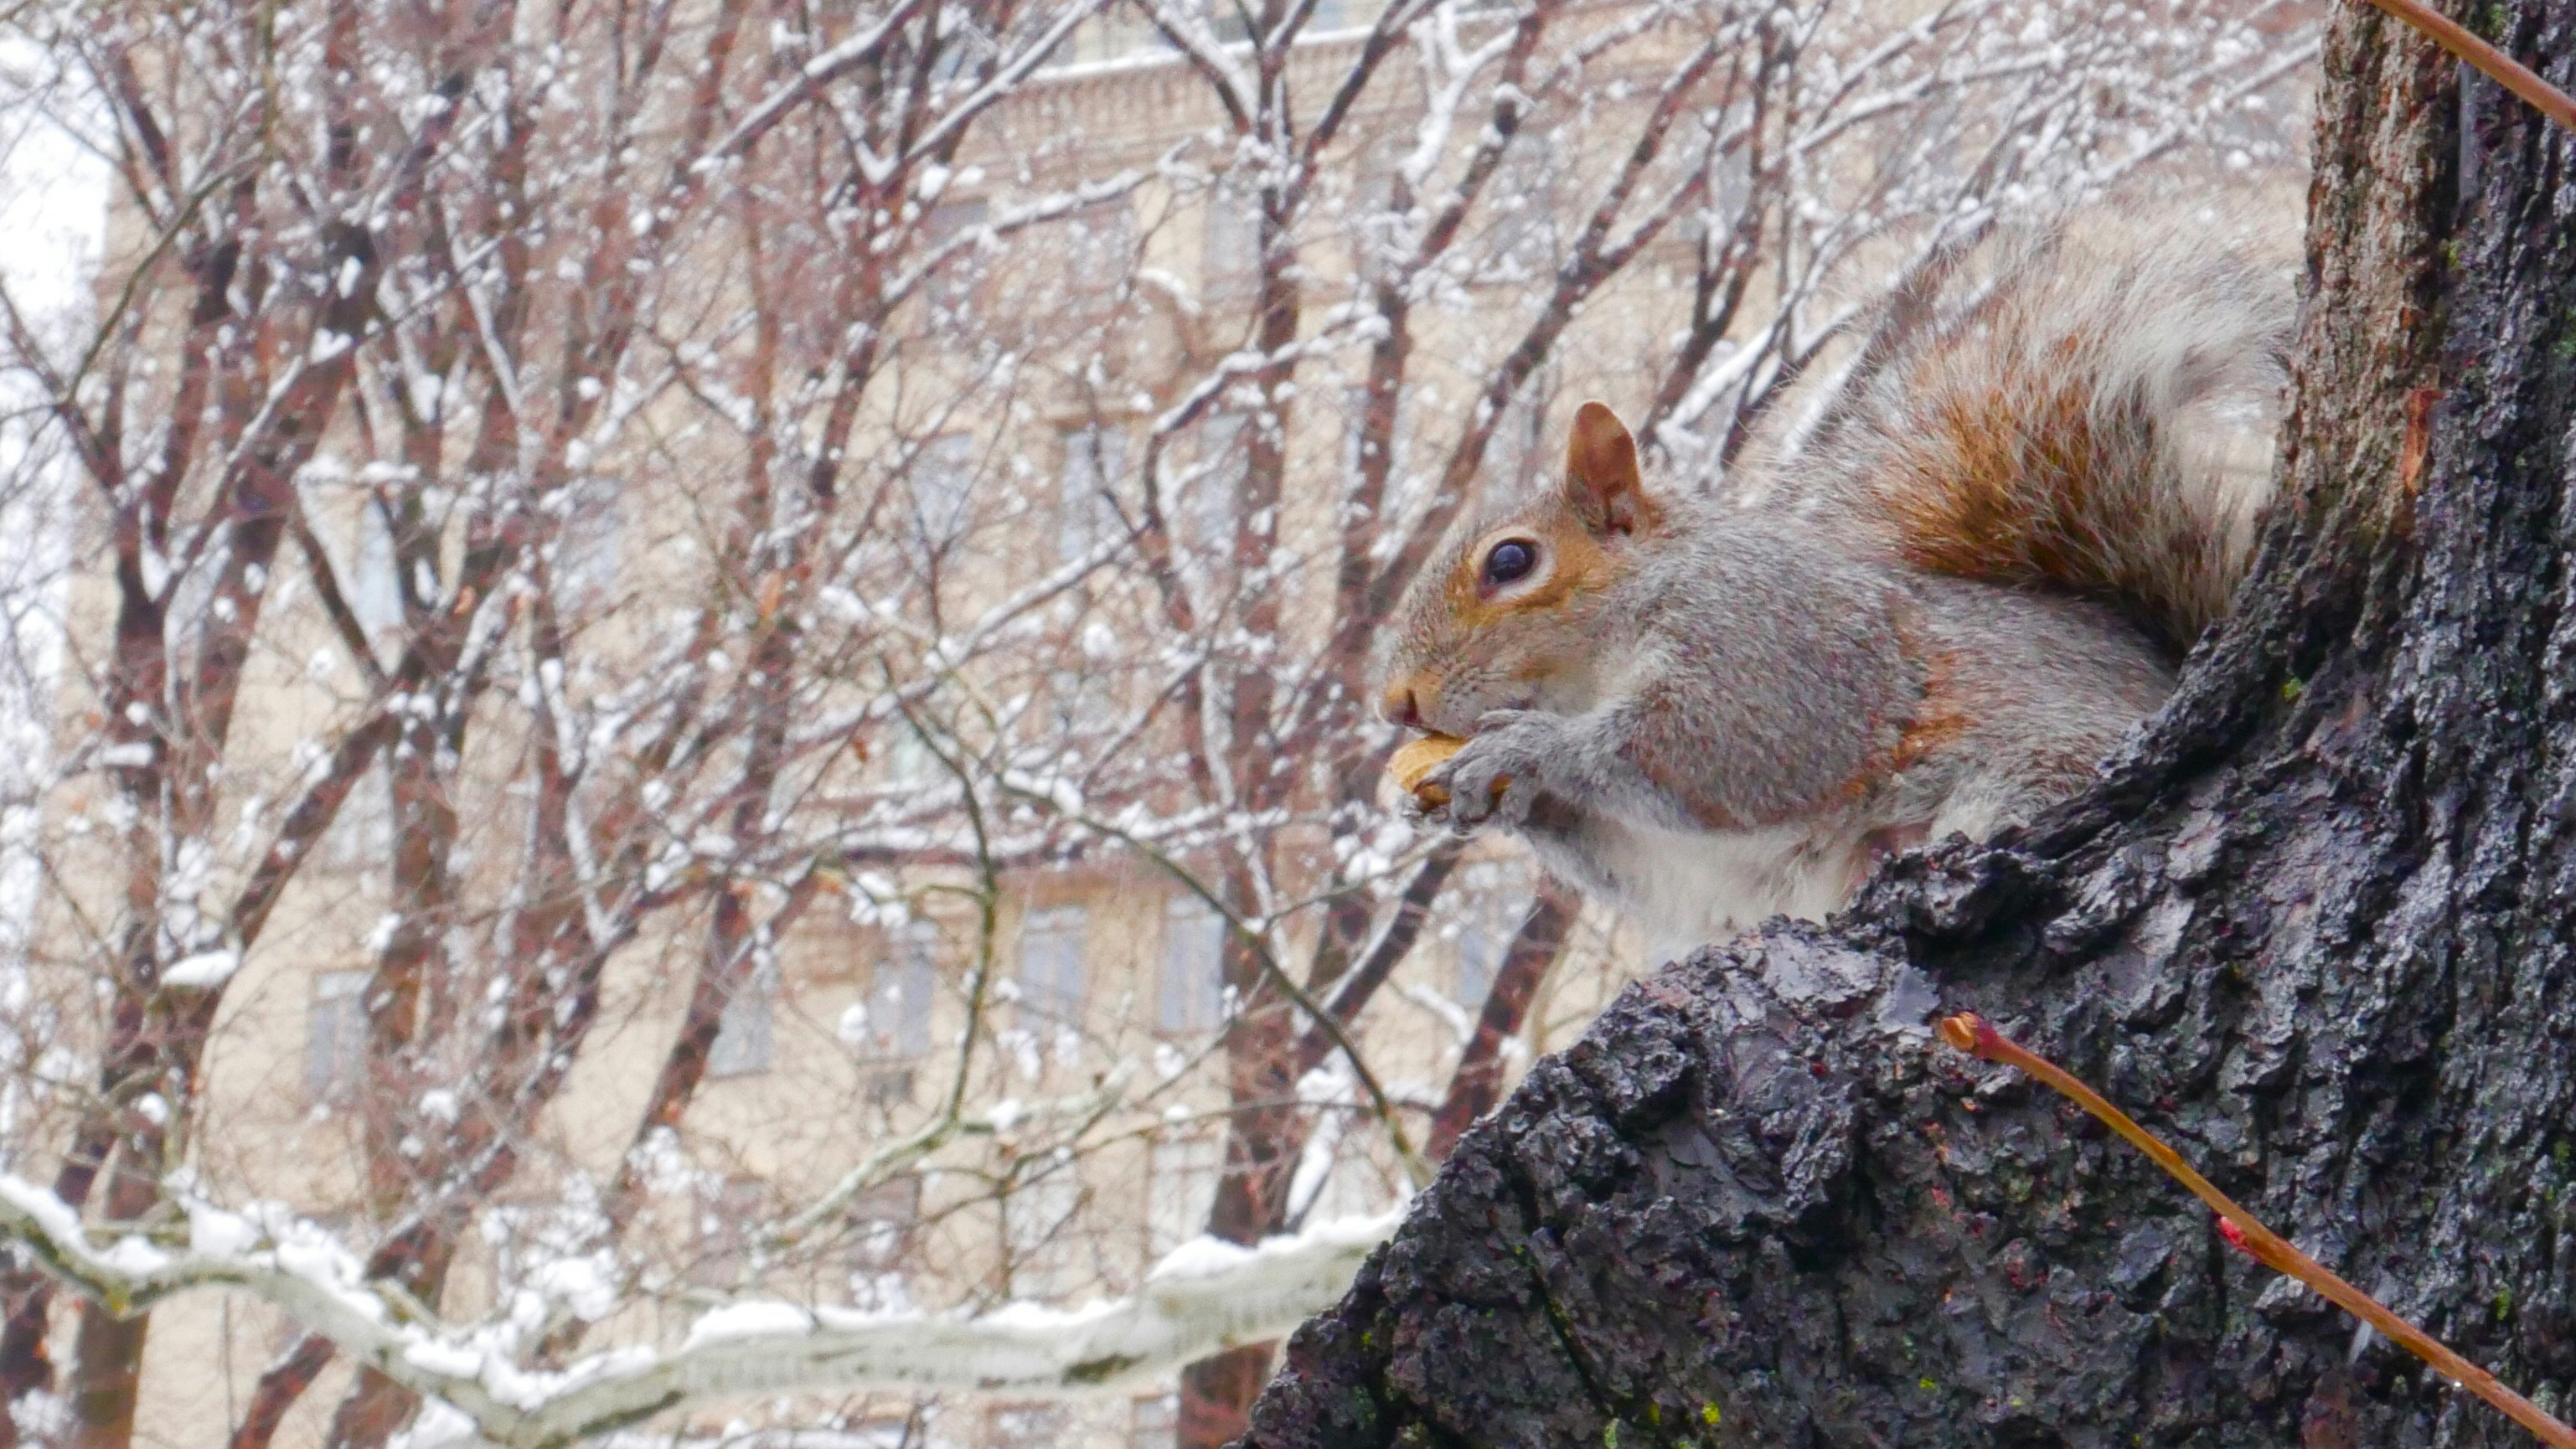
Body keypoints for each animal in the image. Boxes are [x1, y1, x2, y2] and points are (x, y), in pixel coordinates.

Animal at [1376, 213, 2293, 959]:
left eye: (1510, 562)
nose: (1396, 704)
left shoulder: (1772, 636)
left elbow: (1717, 747)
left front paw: (1529, 749)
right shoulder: (1682, 860)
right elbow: (1654, 864)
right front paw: (1481, 803)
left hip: (2038, 767)